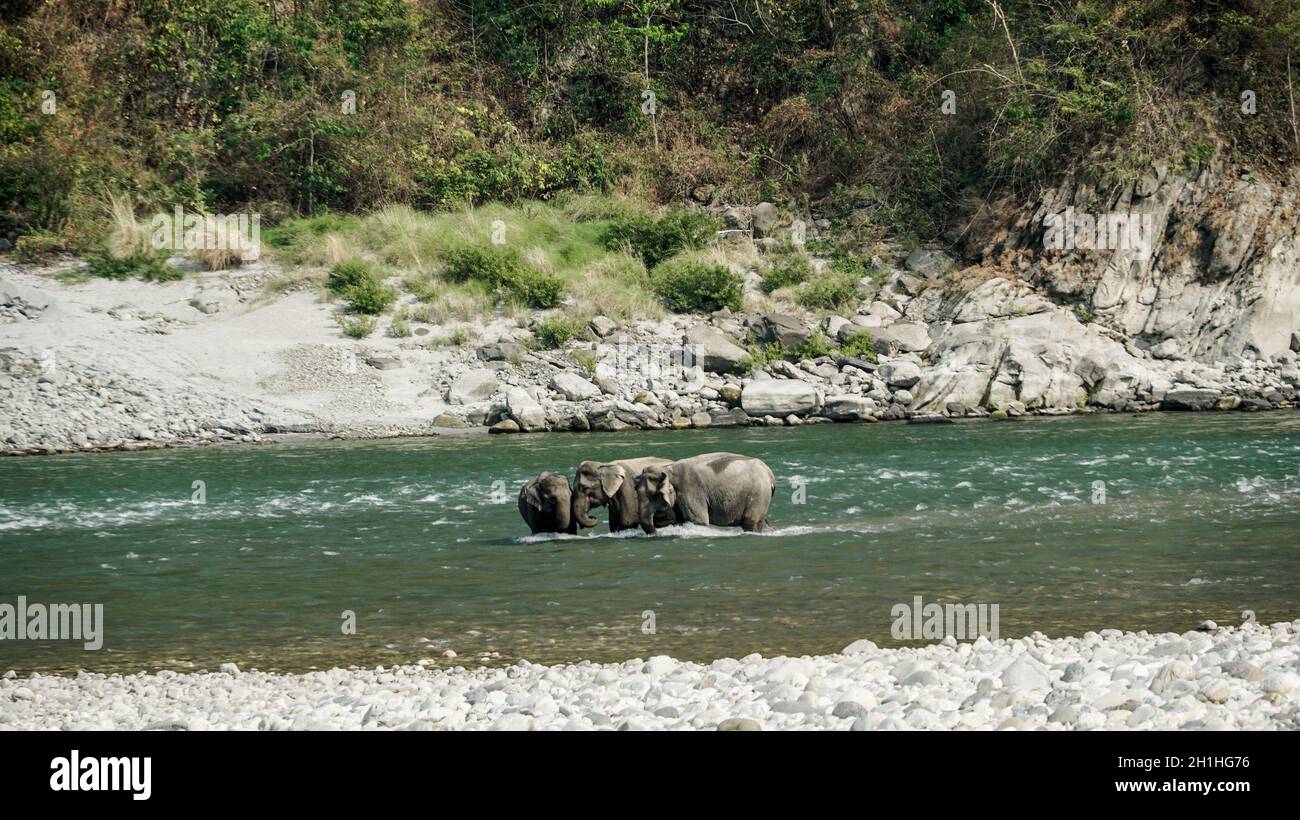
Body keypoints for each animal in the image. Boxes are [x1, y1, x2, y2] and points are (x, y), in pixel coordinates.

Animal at [635, 452, 776, 534]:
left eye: (652, 495)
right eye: (635, 490)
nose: (655, 532)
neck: (668, 468)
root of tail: (769, 472)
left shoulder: (690, 489)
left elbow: (699, 521)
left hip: (759, 492)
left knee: (750, 522)